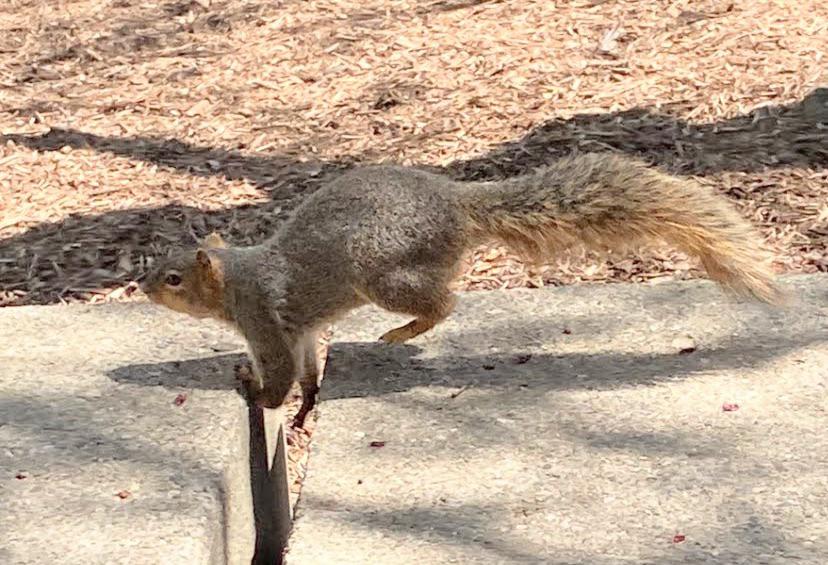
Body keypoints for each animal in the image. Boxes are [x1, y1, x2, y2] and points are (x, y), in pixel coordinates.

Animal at [140, 152, 783, 428]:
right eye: (158, 264)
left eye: (174, 278)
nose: (140, 286)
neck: (237, 275)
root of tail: (456, 205)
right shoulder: (299, 329)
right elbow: (305, 370)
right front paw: (304, 408)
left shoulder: (263, 319)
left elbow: (277, 373)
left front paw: (255, 393)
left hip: (386, 273)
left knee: (444, 303)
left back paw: (400, 332)